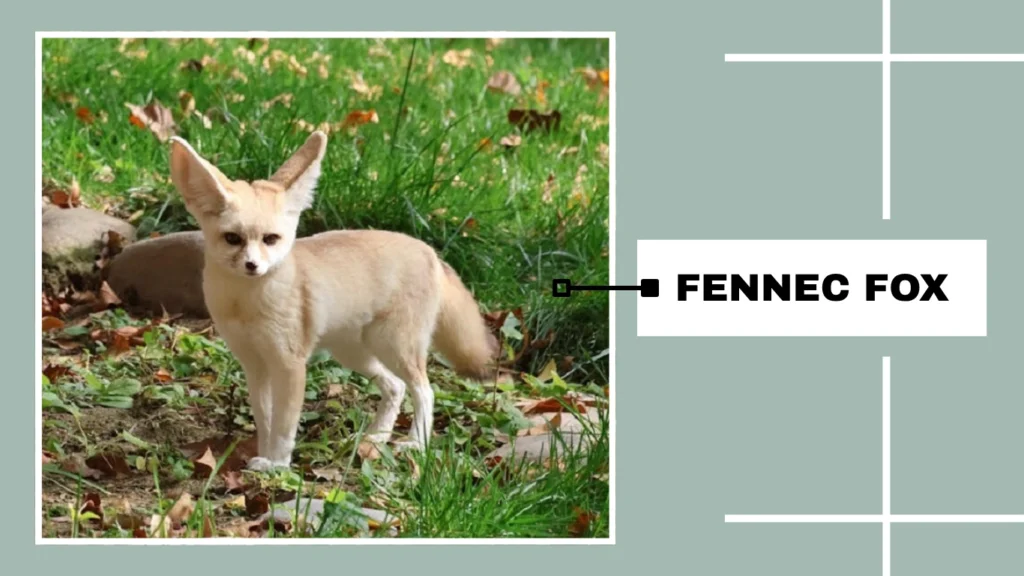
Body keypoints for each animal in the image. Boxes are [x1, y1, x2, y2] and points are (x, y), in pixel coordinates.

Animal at [167, 130, 498, 472]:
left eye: (271, 239)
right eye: (233, 239)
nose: (252, 266)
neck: (245, 306)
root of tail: (429, 250)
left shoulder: (289, 364)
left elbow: (284, 426)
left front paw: (278, 466)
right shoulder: (254, 364)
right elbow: (265, 421)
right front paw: (263, 455)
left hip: (394, 347)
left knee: (425, 391)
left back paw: (417, 444)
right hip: (355, 354)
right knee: (396, 386)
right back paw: (375, 439)